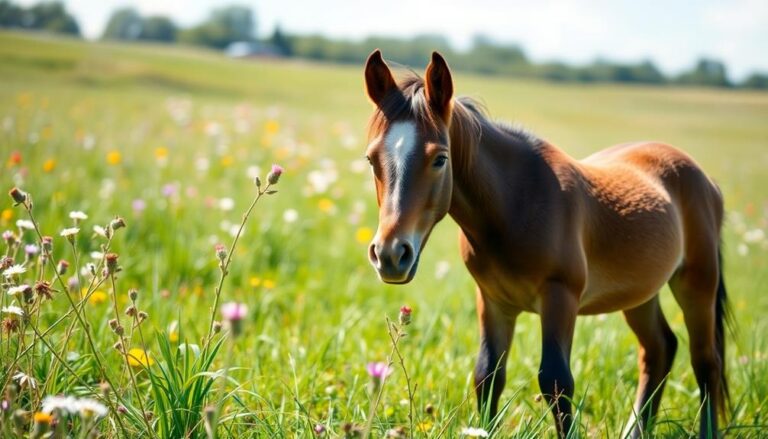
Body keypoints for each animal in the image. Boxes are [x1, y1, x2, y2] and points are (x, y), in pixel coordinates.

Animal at [361, 50, 730, 438]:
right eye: (371, 159)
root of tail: (705, 179)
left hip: (698, 283)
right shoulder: (493, 301)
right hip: (641, 293)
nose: (390, 254)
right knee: (659, 348)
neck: (515, 207)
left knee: (705, 360)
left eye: (440, 158)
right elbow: (488, 375)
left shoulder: (560, 297)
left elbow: (556, 380)